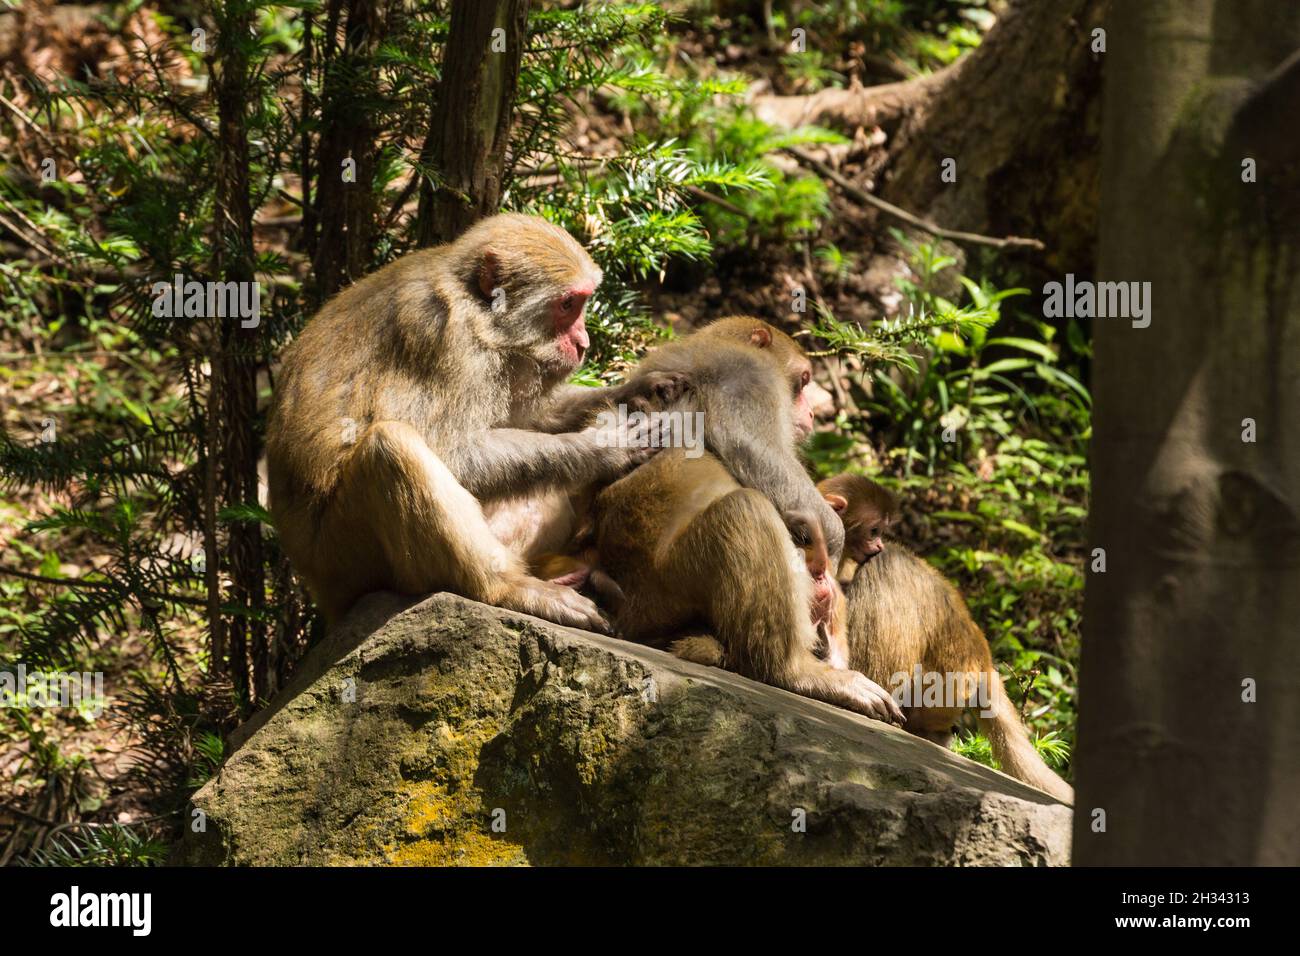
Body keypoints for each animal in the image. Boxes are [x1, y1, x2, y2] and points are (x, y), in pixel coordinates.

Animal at [266, 213, 682, 629]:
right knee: (392, 446)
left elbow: (528, 415)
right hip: (348, 558)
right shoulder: (441, 337)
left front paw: (638, 389)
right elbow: (451, 452)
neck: (480, 316)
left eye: (580, 302)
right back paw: (508, 589)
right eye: (568, 305)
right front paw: (605, 448)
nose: (583, 344)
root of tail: (318, 588)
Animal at [588, 317, 903, 723]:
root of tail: (628, 613)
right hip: (667, 582)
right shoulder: (747, 373)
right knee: (744, 509)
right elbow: (752, 448)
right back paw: (796, 671)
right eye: (803, 381)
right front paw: (831, 551)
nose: (811, 413)